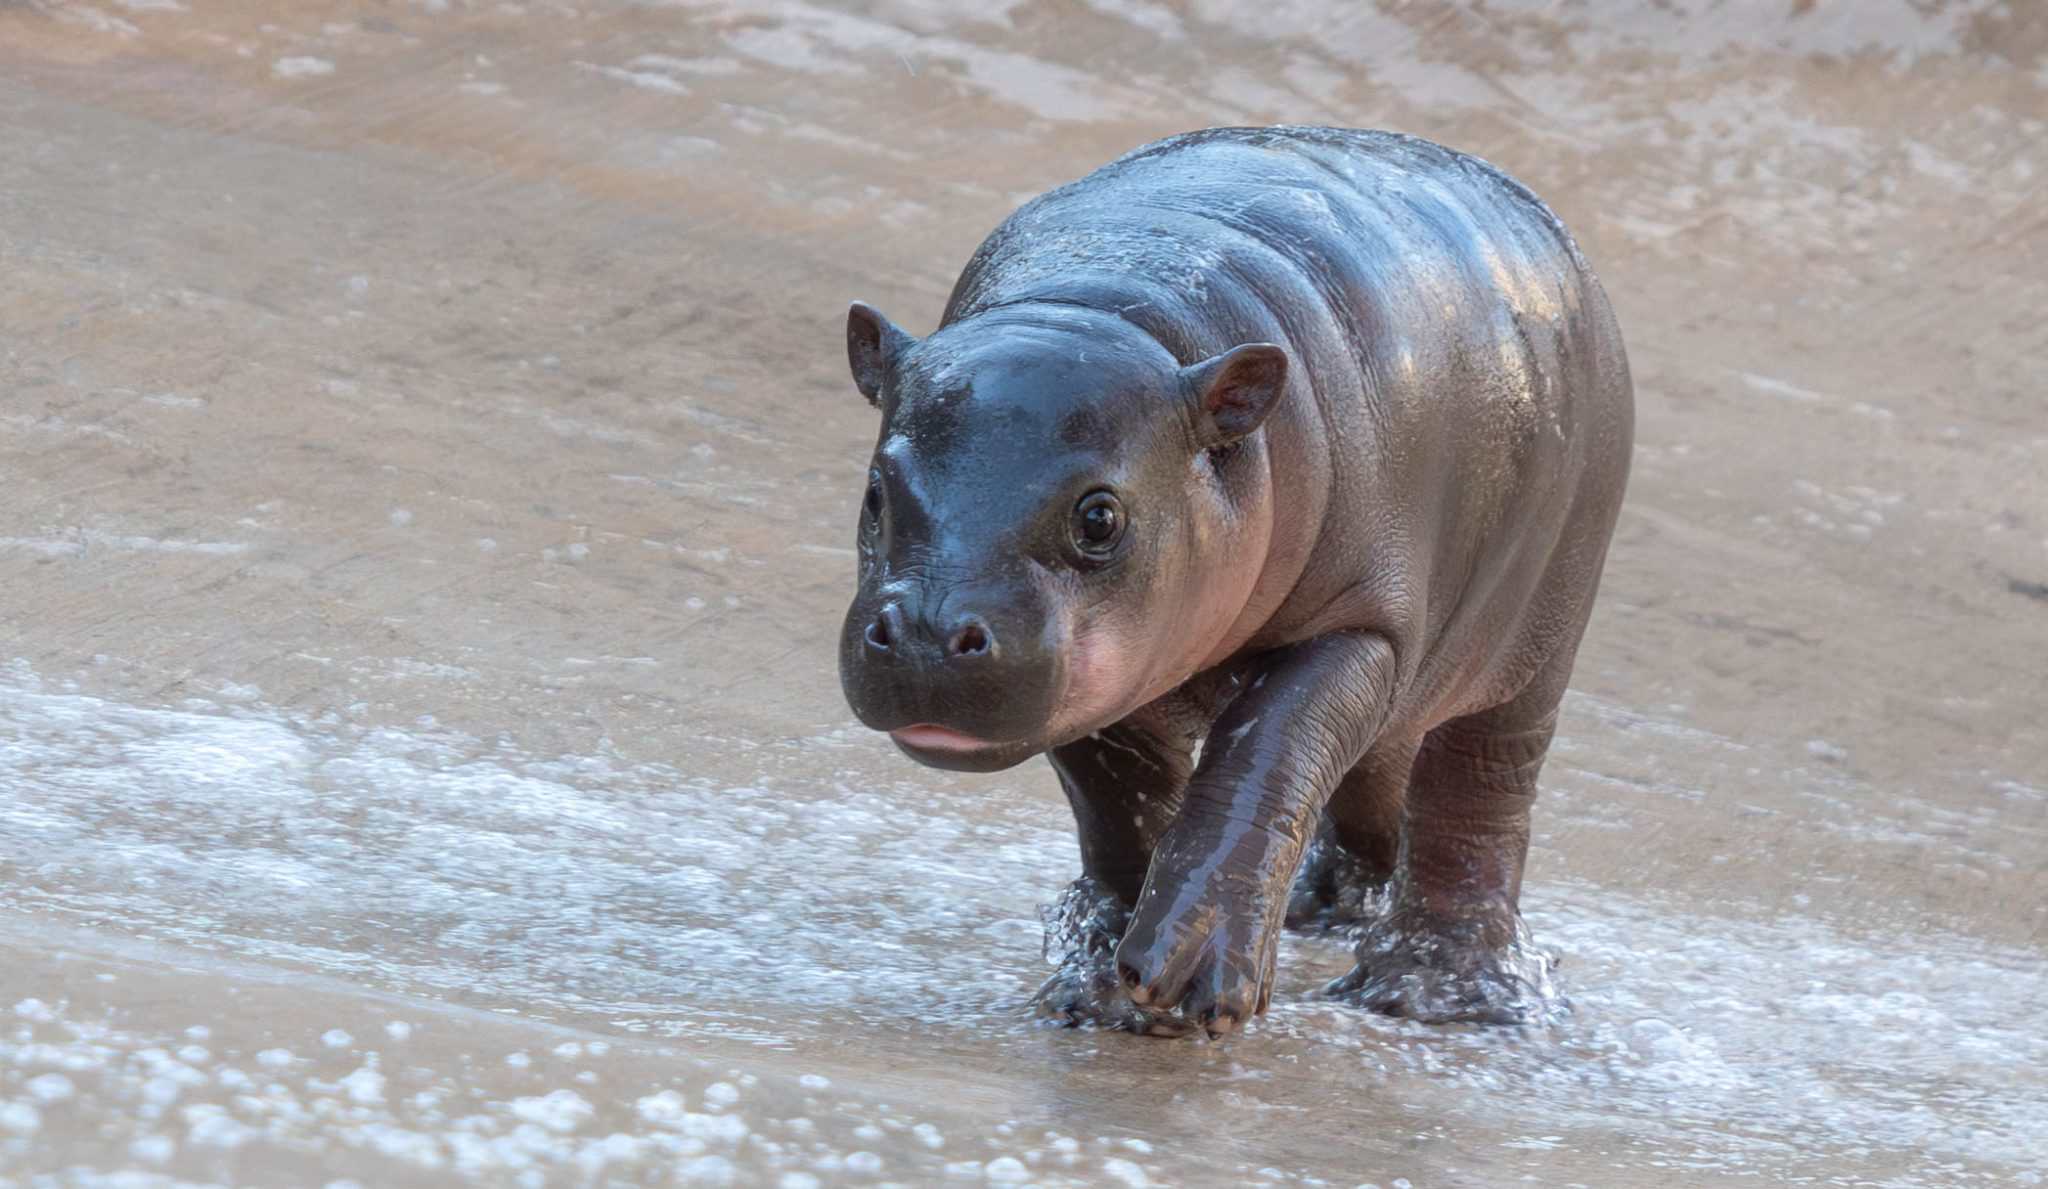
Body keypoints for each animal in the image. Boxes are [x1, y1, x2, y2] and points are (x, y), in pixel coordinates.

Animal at [837, 126, 1632, 1036]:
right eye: (875, 490)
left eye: (1099, 517)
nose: (927, 635)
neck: (1106, 305)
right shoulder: (1106, 683)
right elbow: (1121, 805)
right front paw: (1106, 993)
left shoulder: (1362, 627)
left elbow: (1265, 752)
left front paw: (1193, 983)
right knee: (1378, 782)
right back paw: (1331, 909)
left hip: (1533, 659)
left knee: (1477, 803)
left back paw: (1437, 996)